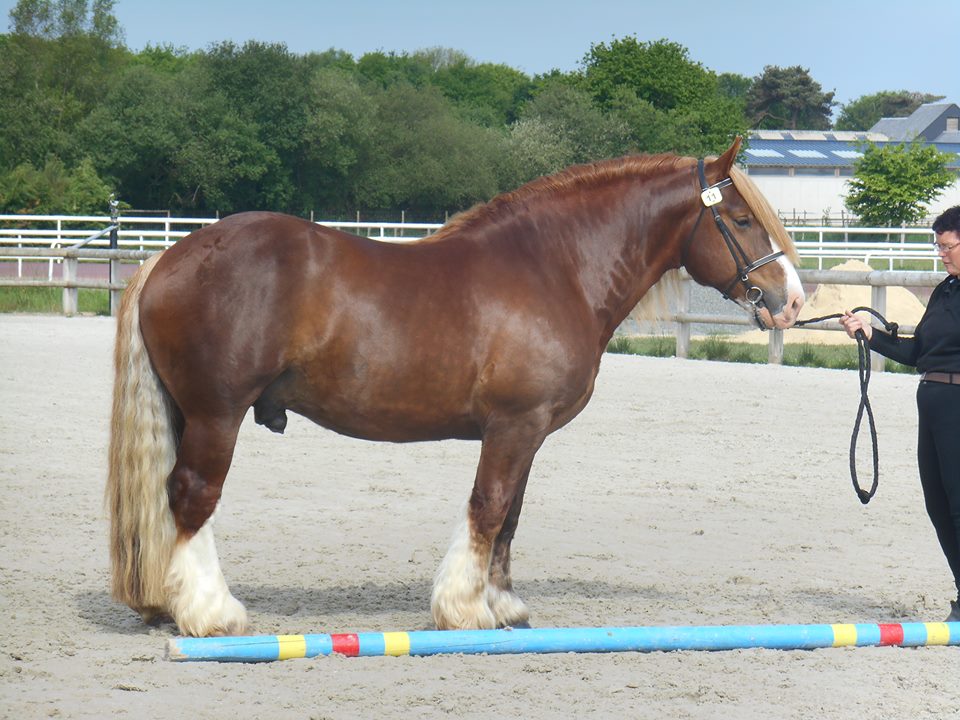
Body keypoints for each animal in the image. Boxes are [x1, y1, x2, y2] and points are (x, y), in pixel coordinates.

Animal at [107, 137, 804, 637]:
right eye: (741, 218)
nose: (793, 301)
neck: (553, 268)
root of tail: (168, 257)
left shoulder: (529, 432)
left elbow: (511, 515)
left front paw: (503, 605)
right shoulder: (514, 425)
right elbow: (488, 507)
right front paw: (464, 608)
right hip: (216, 416)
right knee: (193, 498)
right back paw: (209, 613)